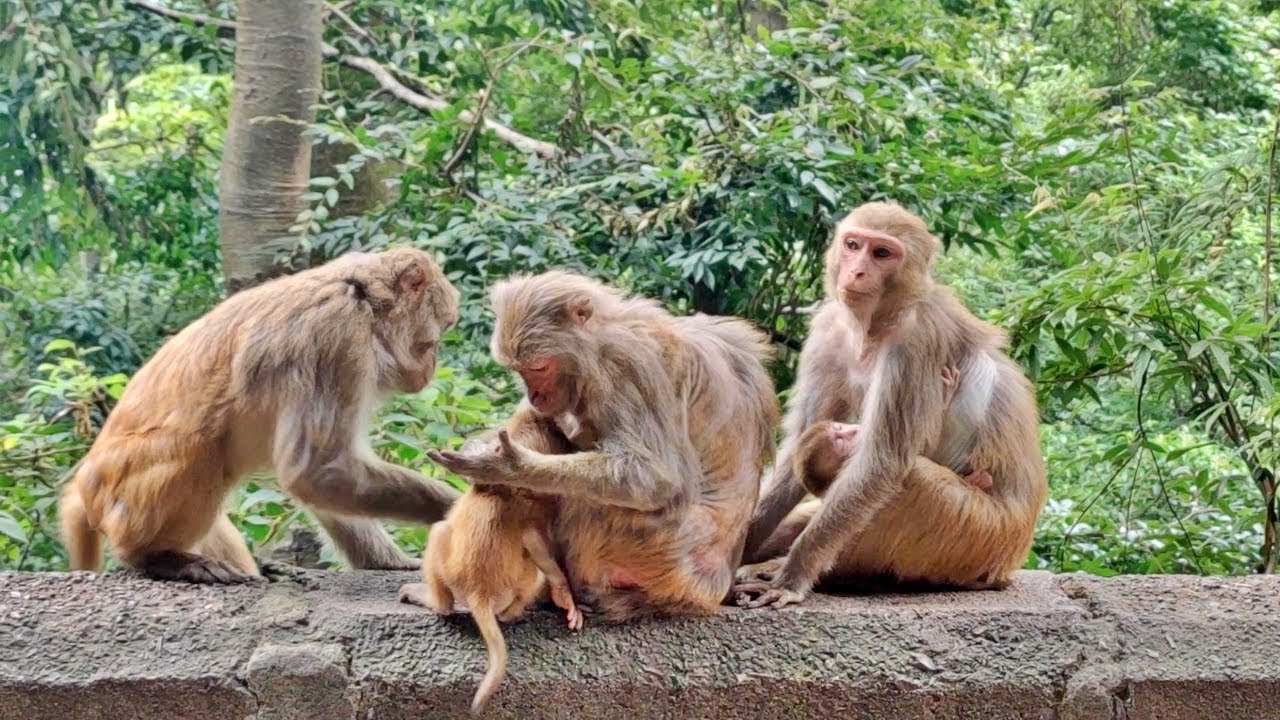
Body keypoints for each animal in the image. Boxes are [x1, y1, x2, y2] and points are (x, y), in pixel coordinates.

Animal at [58, 247, 464, 584]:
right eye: (441, 331)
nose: (433, 364)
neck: (361, 298)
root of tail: (84, 485)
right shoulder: (335, 336)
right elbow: (314, 470)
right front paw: (453, 508)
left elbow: (323, 478)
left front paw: (388, 561)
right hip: (121, 491)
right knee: (203, 452)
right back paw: (154, 556)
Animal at [399, 412, 581, 714]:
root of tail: (480, 593)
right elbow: (535, 544)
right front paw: (565, 597)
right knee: (531, 576)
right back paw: (511, 613)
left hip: (452, 573)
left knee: (440, 533)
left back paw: (430, 599)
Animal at [429, 271, 778, 622]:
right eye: (518, 370)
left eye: (539, 367)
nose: (534, 396)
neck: (604, 336)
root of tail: (708, 590)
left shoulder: (624, 366)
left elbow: (656, 478)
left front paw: (509, 467)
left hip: (646, 550)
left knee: (593, 497)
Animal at [734, 201, 1048, 608]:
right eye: (853, 245)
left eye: (882, 253)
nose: (856, 271)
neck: (875, 323)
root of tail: (1009, 562)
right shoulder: (828, 329)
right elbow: (801, 446)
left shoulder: (917, 339)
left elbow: (882, 462)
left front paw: (789, 578)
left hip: (981, 540)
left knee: (911, 479)